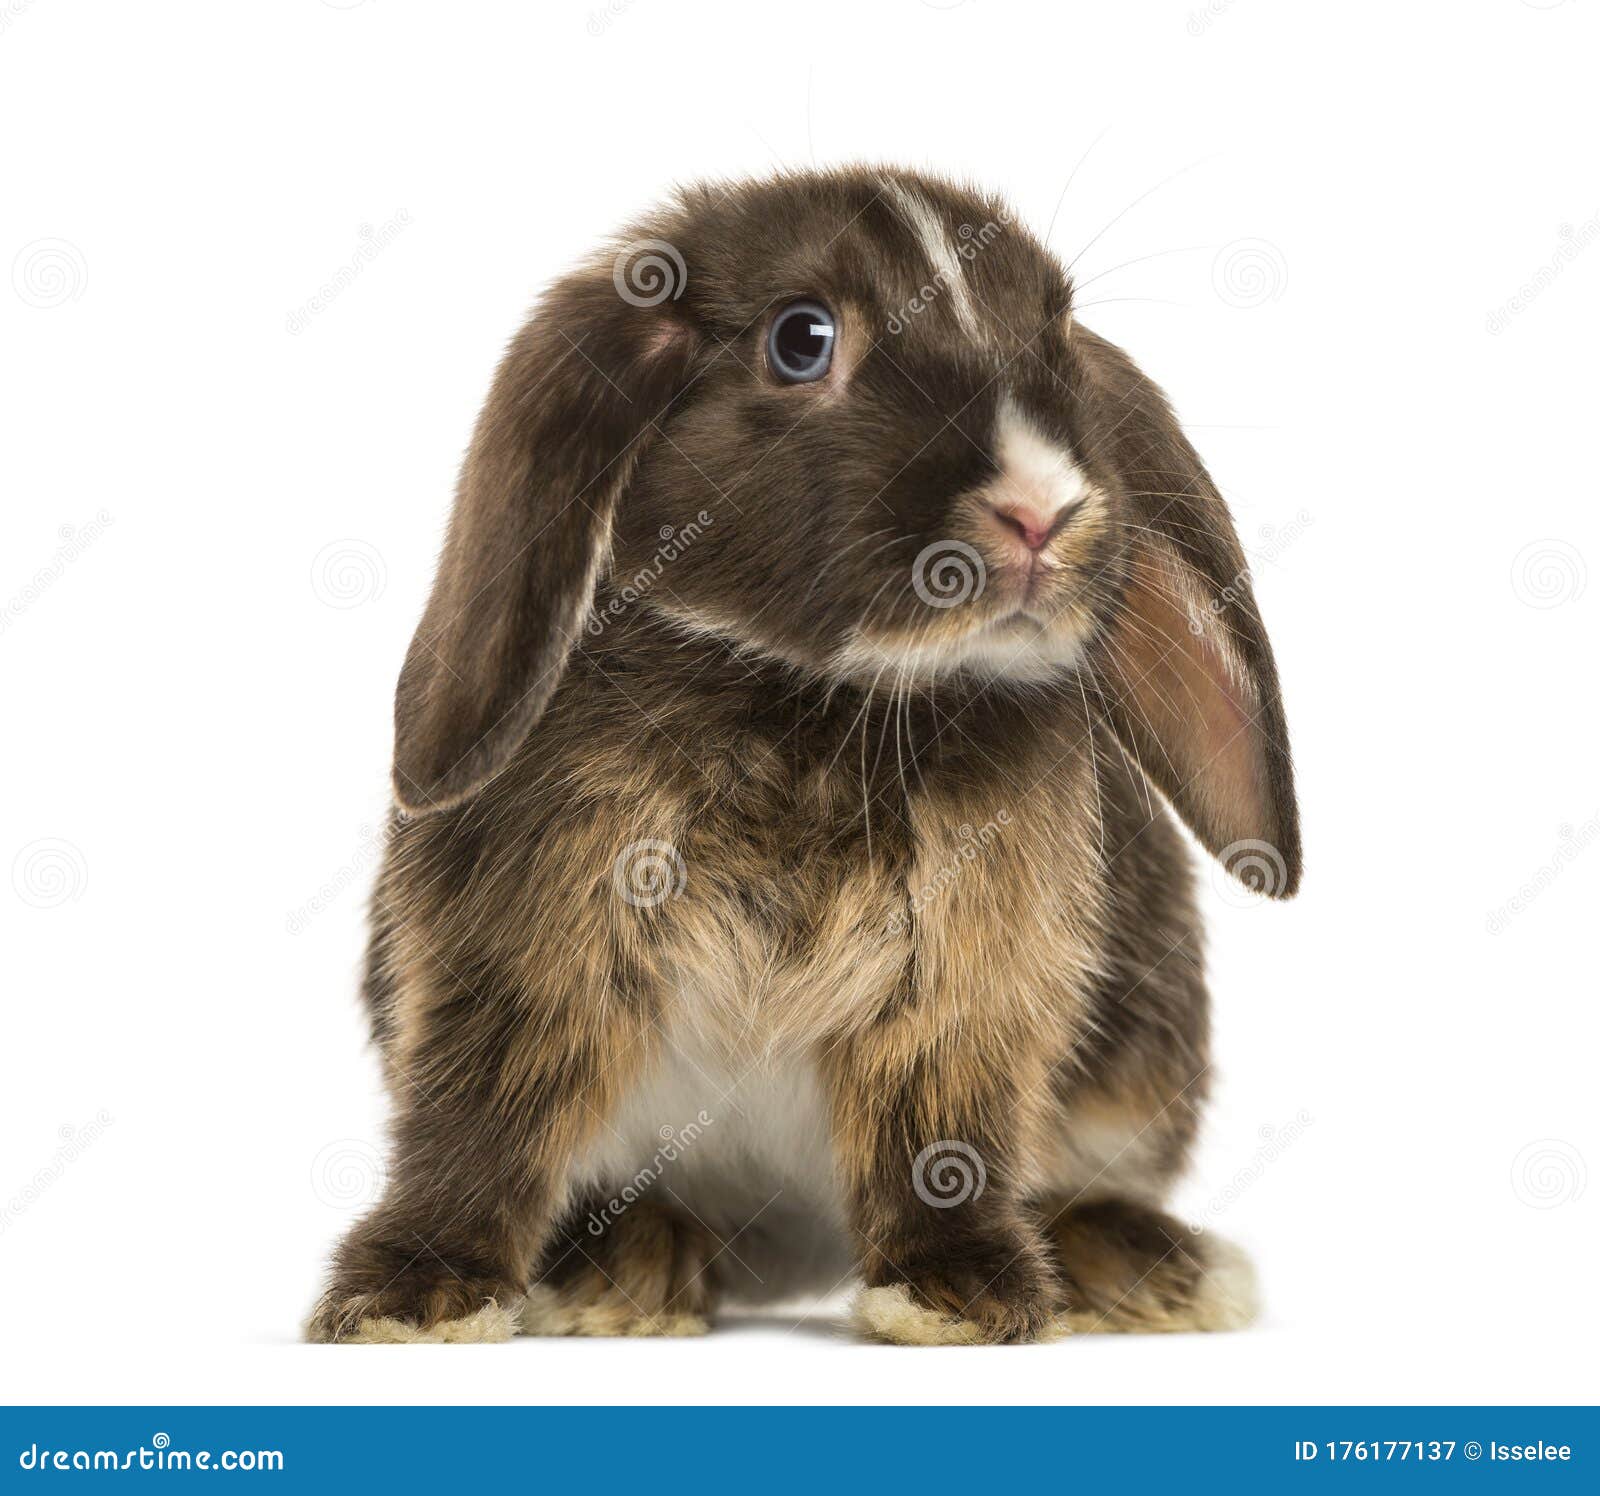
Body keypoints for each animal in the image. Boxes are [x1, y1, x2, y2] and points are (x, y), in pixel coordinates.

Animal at [306, 165, 1301, 1346]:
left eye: (1055, 335)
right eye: (801, 338)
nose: (1043, 510)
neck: (822, 702)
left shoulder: (969, 978)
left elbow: (943, 1129)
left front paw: (955, 1298)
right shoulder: (528, 944)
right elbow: (483, 1115)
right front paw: (410, 1298)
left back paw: (1146, 1266)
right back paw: (618, 1270)